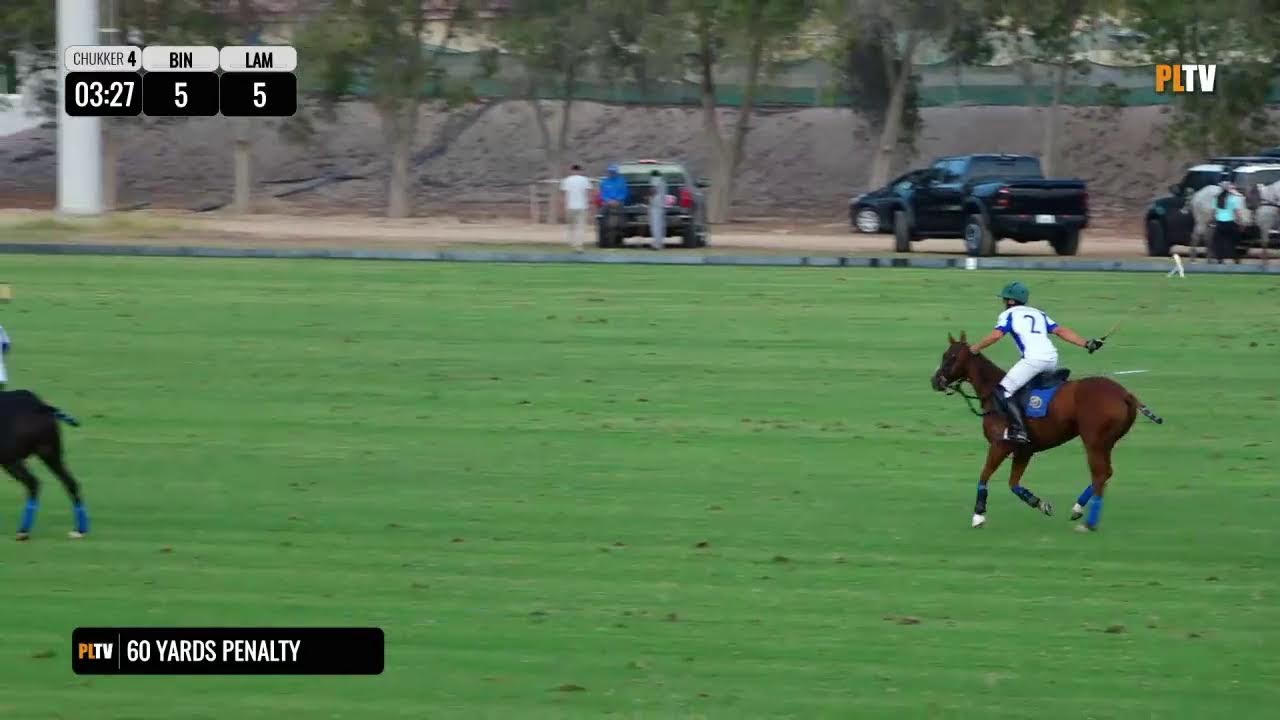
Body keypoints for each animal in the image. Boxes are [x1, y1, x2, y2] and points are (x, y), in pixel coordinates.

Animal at [0, 389, 89, 540]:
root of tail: (38, 405)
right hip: (50, 453)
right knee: (71, 483)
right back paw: (80, 530)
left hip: (11, 459)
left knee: (33, 482)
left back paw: (23, 531)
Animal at [930, 332, 1163, 532]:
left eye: (950, 356)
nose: (935, 381)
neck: (995, 395)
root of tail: (1125, 394)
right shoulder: (1024, 450)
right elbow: (1013, 484)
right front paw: (1040, 503)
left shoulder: (1000, 445)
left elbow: (984, 476)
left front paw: (978, 515)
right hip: (1107, 441)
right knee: (1105, 473)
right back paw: (1078, 509)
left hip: (1093, 441)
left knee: (1101, 473)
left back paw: (1088, 521)